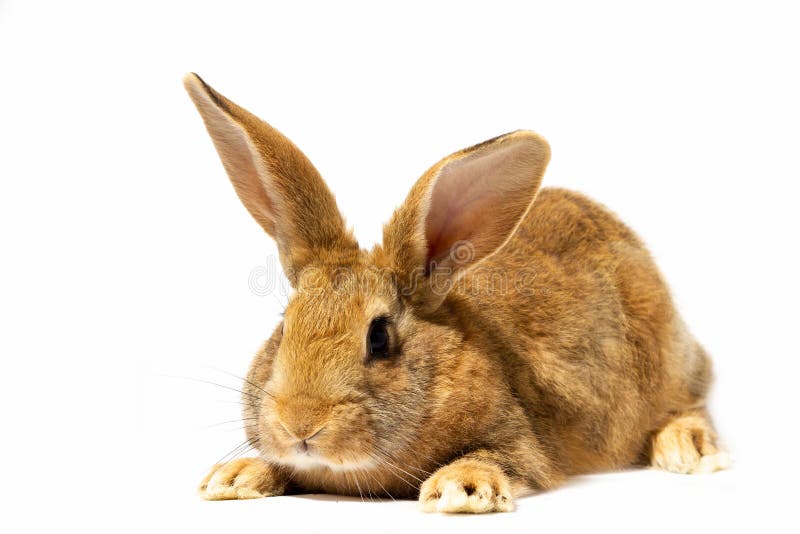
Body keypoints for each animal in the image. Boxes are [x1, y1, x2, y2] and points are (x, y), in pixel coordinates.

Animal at [184, 73, 730, 513]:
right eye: (283, 327)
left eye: (379, 337)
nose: (301, 425)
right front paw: (234, 477)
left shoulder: (524, 442)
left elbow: (499, 458)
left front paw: (461, 489)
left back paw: (687, 449)